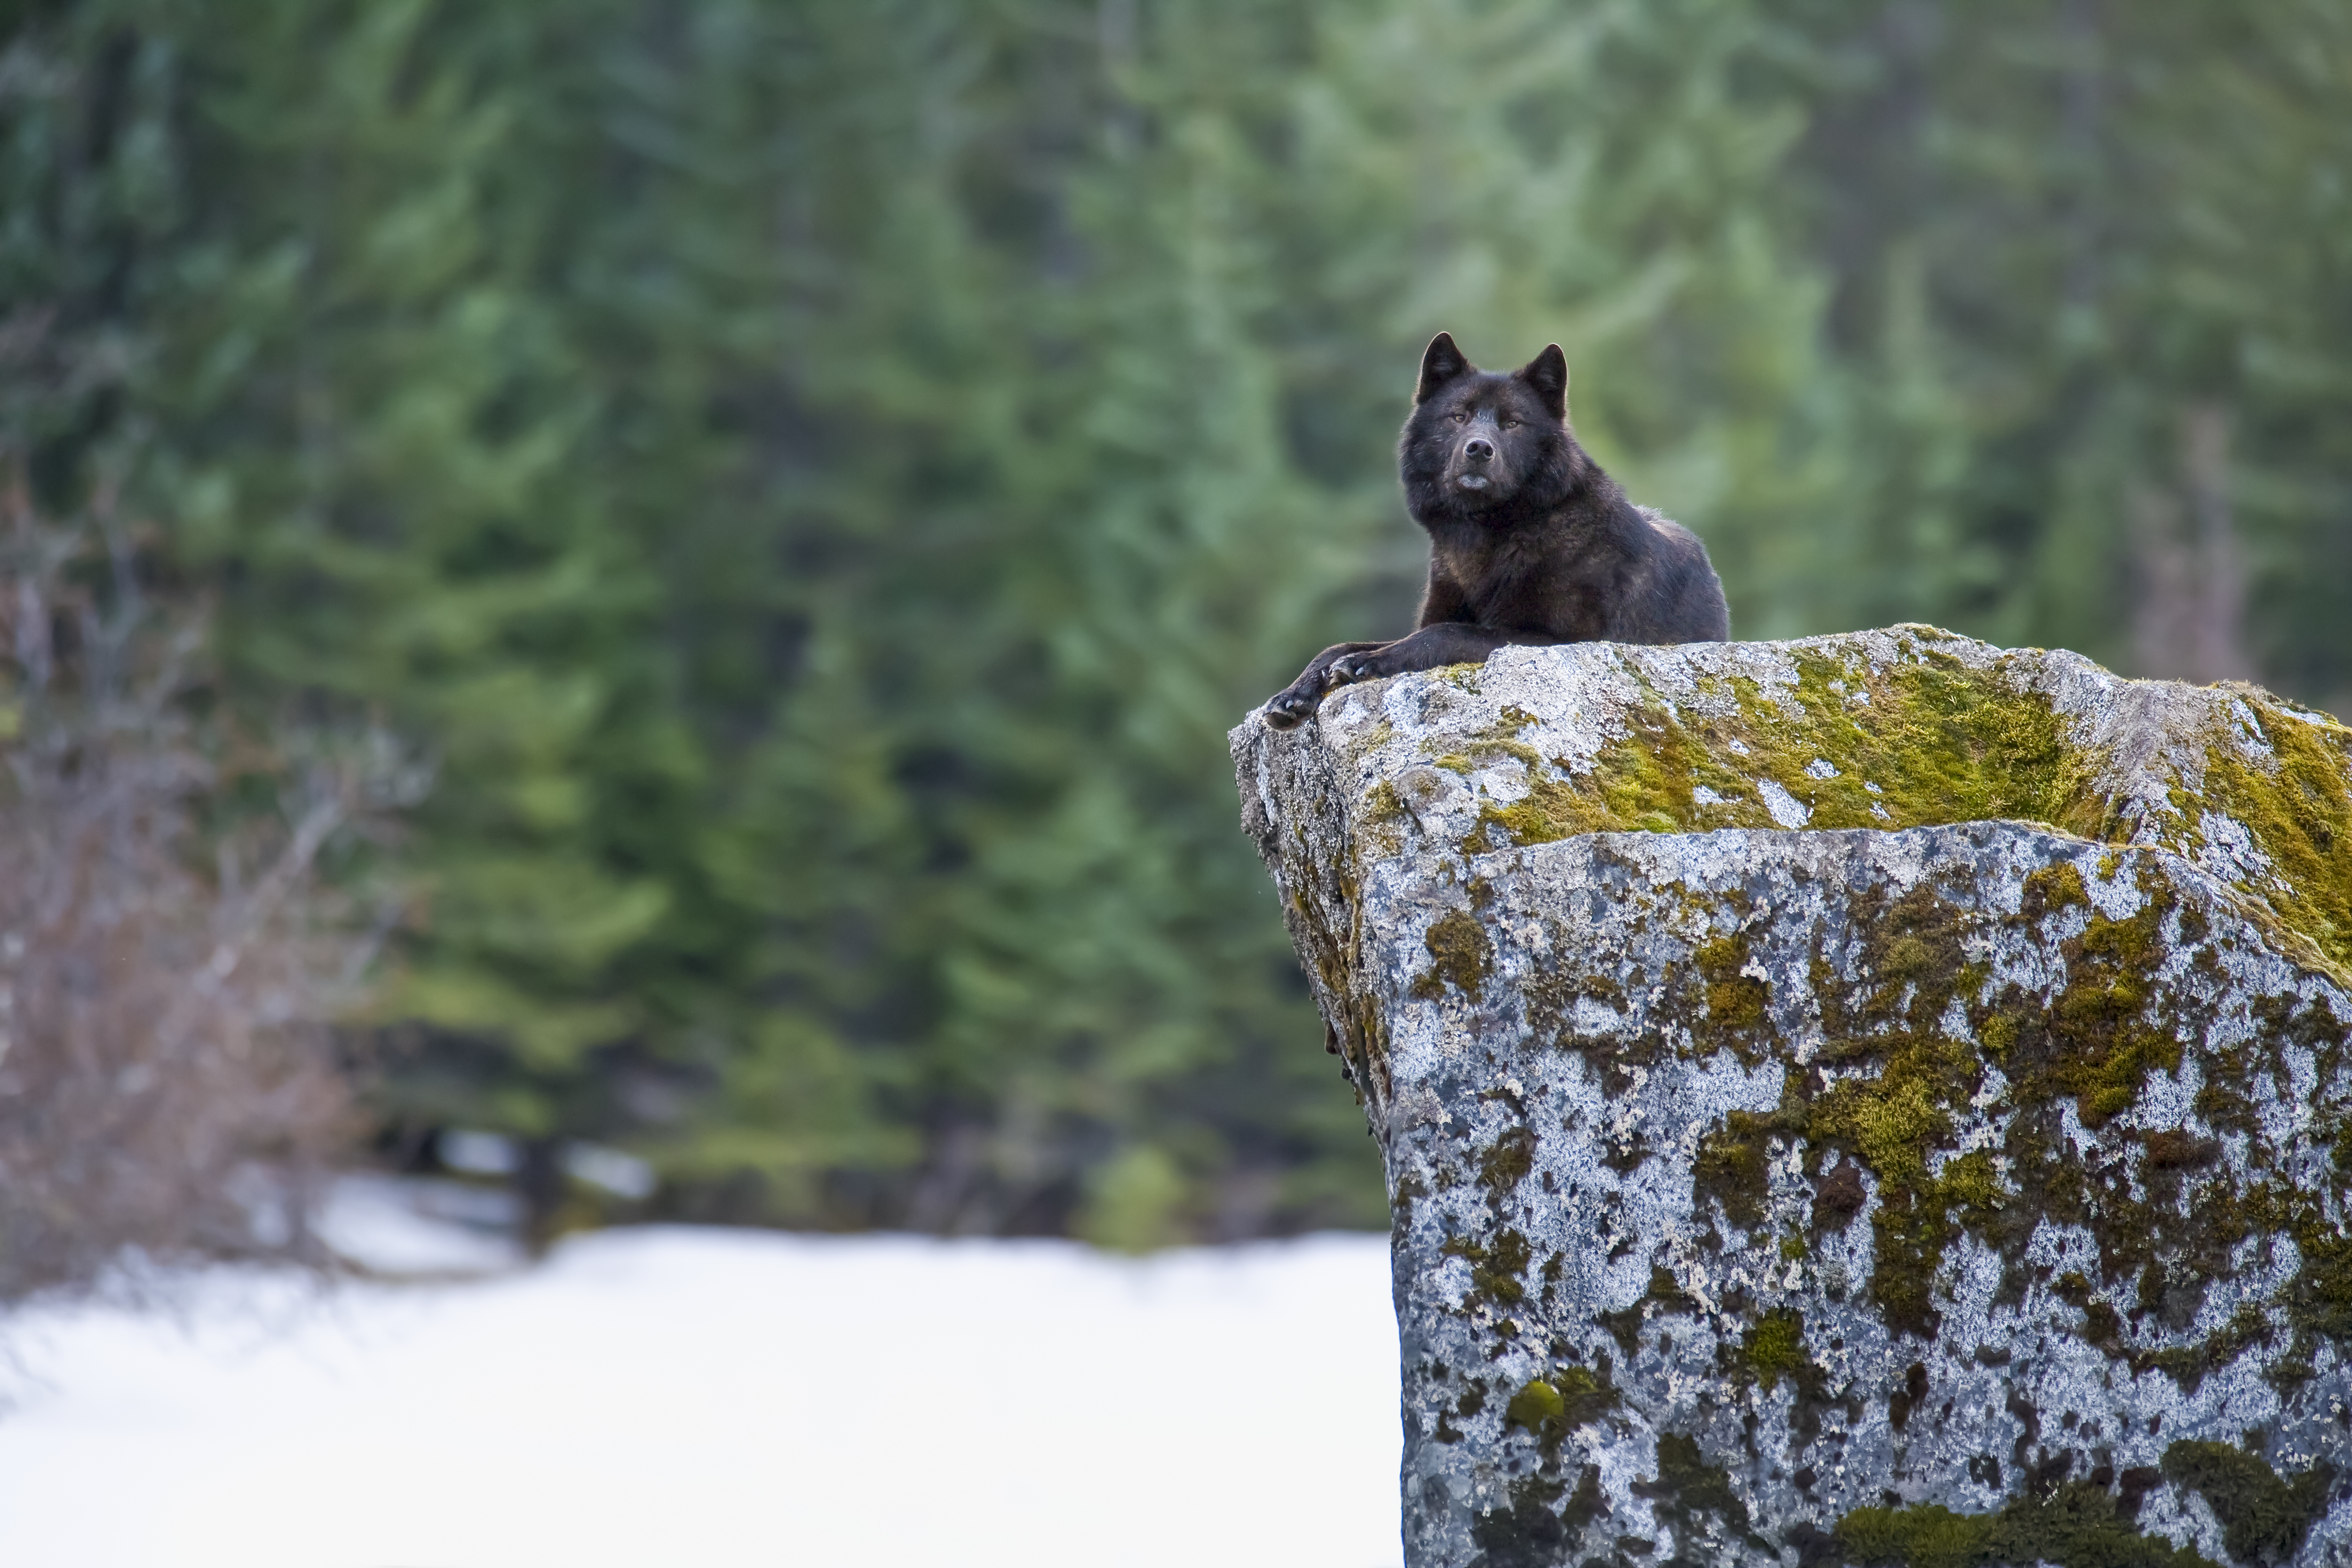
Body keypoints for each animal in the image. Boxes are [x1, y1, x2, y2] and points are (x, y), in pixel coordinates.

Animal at [1261, 333, 1729, 729]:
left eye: (1513, 423)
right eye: (1459, 416)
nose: (1479, 449)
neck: (1489, 537)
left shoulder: (1562, 641)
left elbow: (1444, 634)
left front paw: (1370, 663)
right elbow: (1338, 646)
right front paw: (1296, 691)